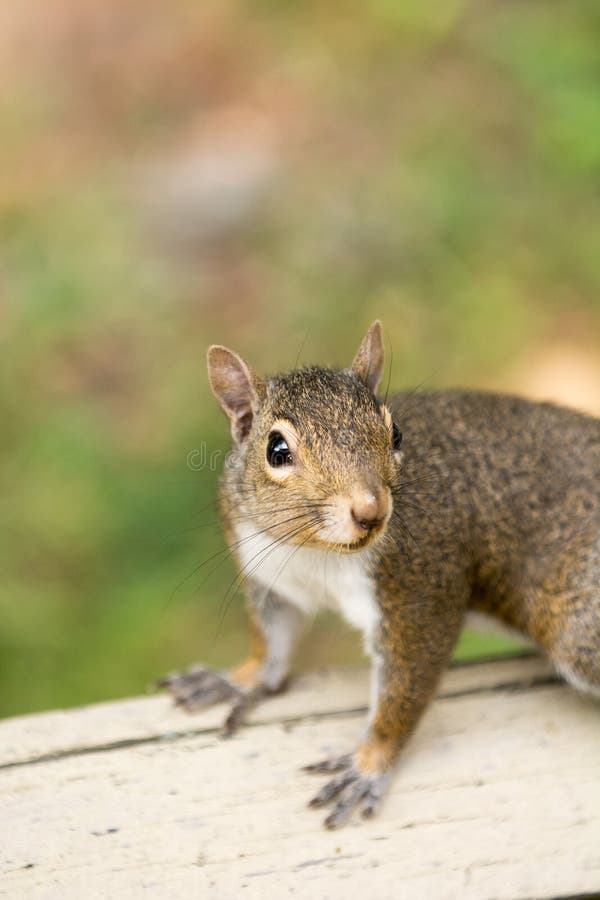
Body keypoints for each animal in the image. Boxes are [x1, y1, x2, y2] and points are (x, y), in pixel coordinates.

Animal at [160, 321, 600, 828]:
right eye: (276, 450)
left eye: (397, 433)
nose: (370, 510)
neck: (318, 554)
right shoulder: (272, 577)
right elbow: (271, 644)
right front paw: (237, 679)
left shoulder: (420, 593)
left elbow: (403, 692)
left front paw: (366, 766)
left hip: (580, 628)